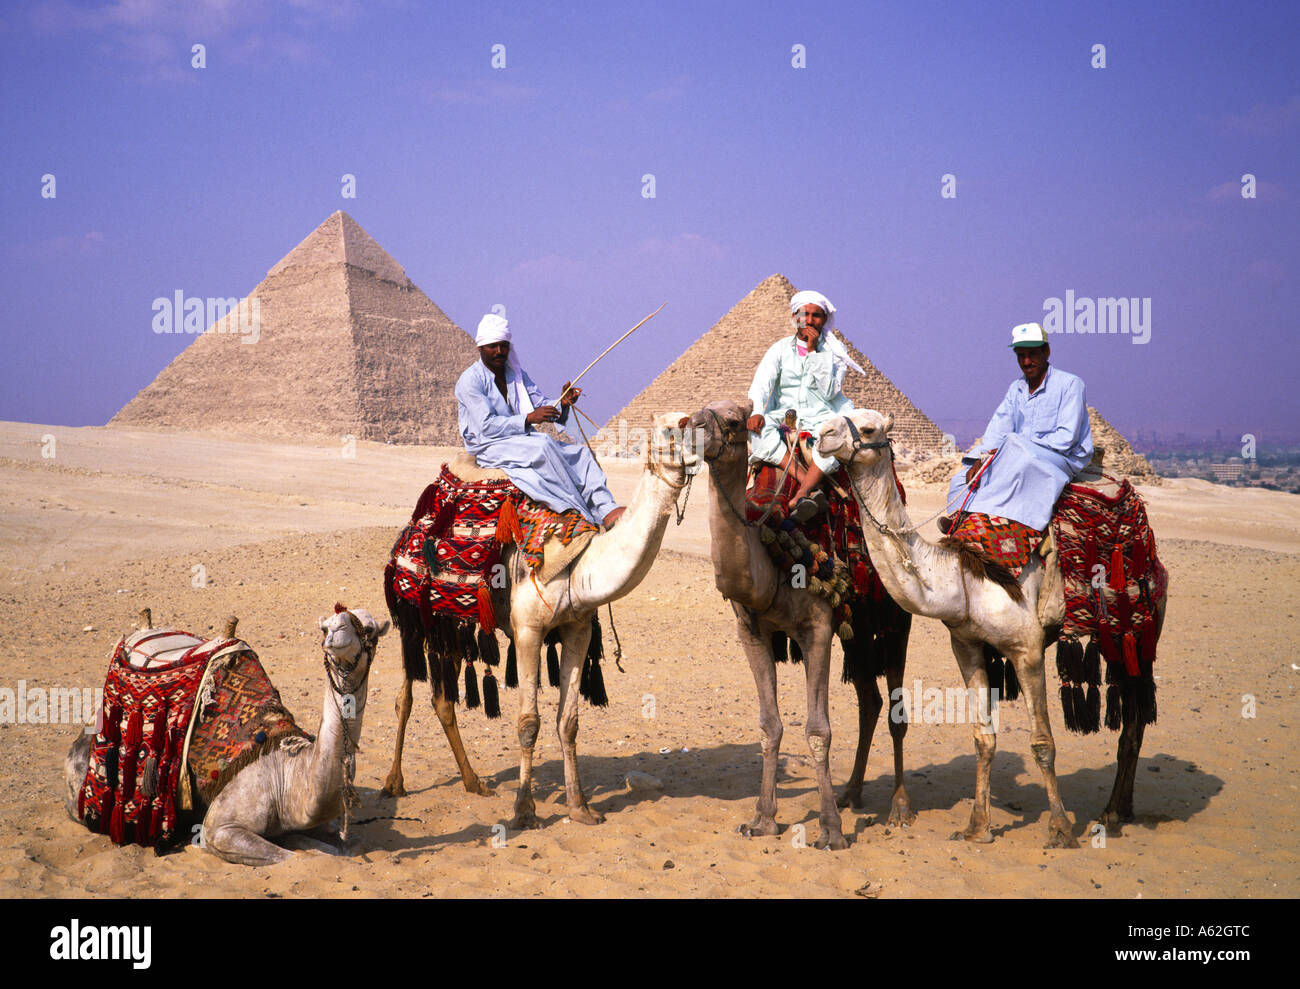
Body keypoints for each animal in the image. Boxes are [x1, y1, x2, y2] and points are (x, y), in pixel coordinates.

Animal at [65, 607, 390, 866]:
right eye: (325, 627)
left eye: (370, 628)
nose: (335, 636)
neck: (289, 775)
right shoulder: (220, 828)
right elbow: (298, 858)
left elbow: (341, 849)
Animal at [383, 413, 697, 831]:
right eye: (670, 429)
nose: (704, 446)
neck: (578, 564)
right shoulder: (528, 630)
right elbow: (528, 723)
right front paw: (524, 810)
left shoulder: (578, 628)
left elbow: (569, 721)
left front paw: (580, 807)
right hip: (413, 613)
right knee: (405, 697)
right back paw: (394, 783)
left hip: (452, 621)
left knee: (443, 698)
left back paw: (474, 782)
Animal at [685, 400, 914, 851]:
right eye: (697, 411)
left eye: (733, 420)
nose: (691, 429)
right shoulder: (752, 634)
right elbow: (769, 727)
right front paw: (762, 819)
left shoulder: (817, 630)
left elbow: (818, 730)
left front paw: (830, 831)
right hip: (857, 634)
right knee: (870, 702)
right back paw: (851, 793)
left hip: (895, 622)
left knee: (896, 712)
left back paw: (899, 807)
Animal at [817, 410, 1168, 847]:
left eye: (866, 429)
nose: (821, 434)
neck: (961, 576)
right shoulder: (966, 647)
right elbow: (983, 738)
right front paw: (977, 826)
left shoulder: (1027, 650)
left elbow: (1043, 743)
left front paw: (1060, 829)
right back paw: (1122, 808)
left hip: (1135, 629)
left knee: (1134, 721)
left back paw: (1113, 812)